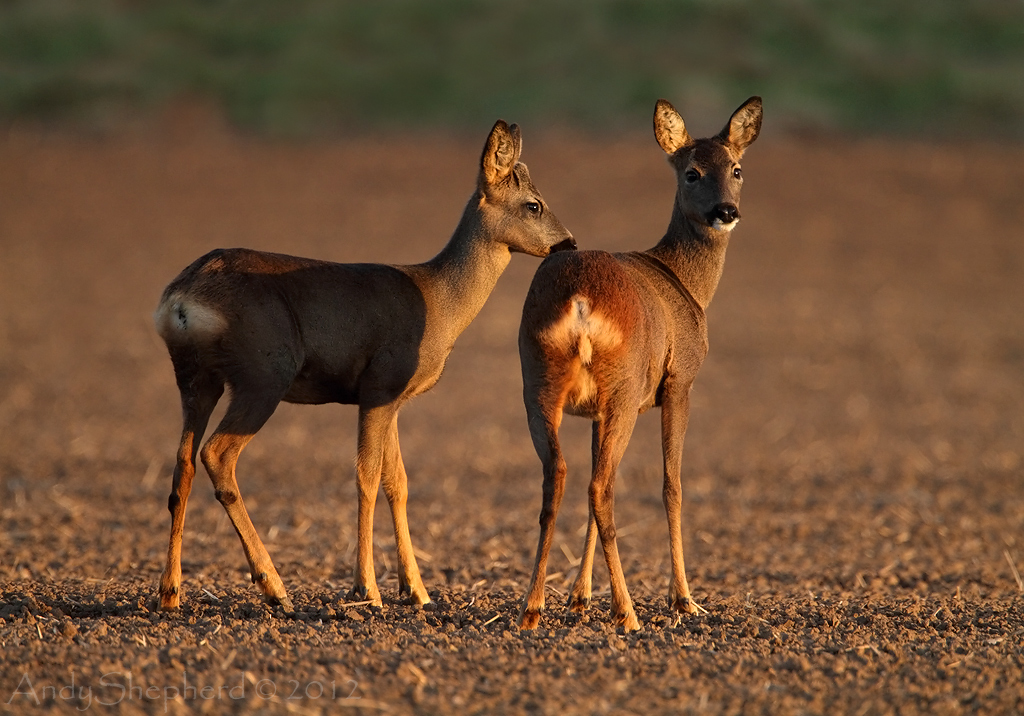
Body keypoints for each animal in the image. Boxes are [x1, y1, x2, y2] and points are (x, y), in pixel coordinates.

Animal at [153, 120, 575, 613]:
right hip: (263, 375)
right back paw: (274, 587)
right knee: (217, 455)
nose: (569, 243)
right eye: (534, 204)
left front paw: (418, 591)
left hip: (196, 379)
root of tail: (181, 298)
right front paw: (368, 591)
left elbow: (399, 482)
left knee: (182, 464)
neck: (440, 299)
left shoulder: (391, 399)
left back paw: (170, 592)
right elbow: (366, 477)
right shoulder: (380, 385)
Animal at [517, 97, 762, 631]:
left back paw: (532, 609)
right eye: (692, 172)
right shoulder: (681, 380)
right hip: (625, 390)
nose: (726, 211)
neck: (686, 283)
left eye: (736, 169)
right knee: (601, 488)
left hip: (539, 384)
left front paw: (580, 596)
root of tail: (581, 301)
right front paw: (684, 598)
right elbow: (673, 486)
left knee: (560, 480)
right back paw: (628, 613)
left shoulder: (589, 410)